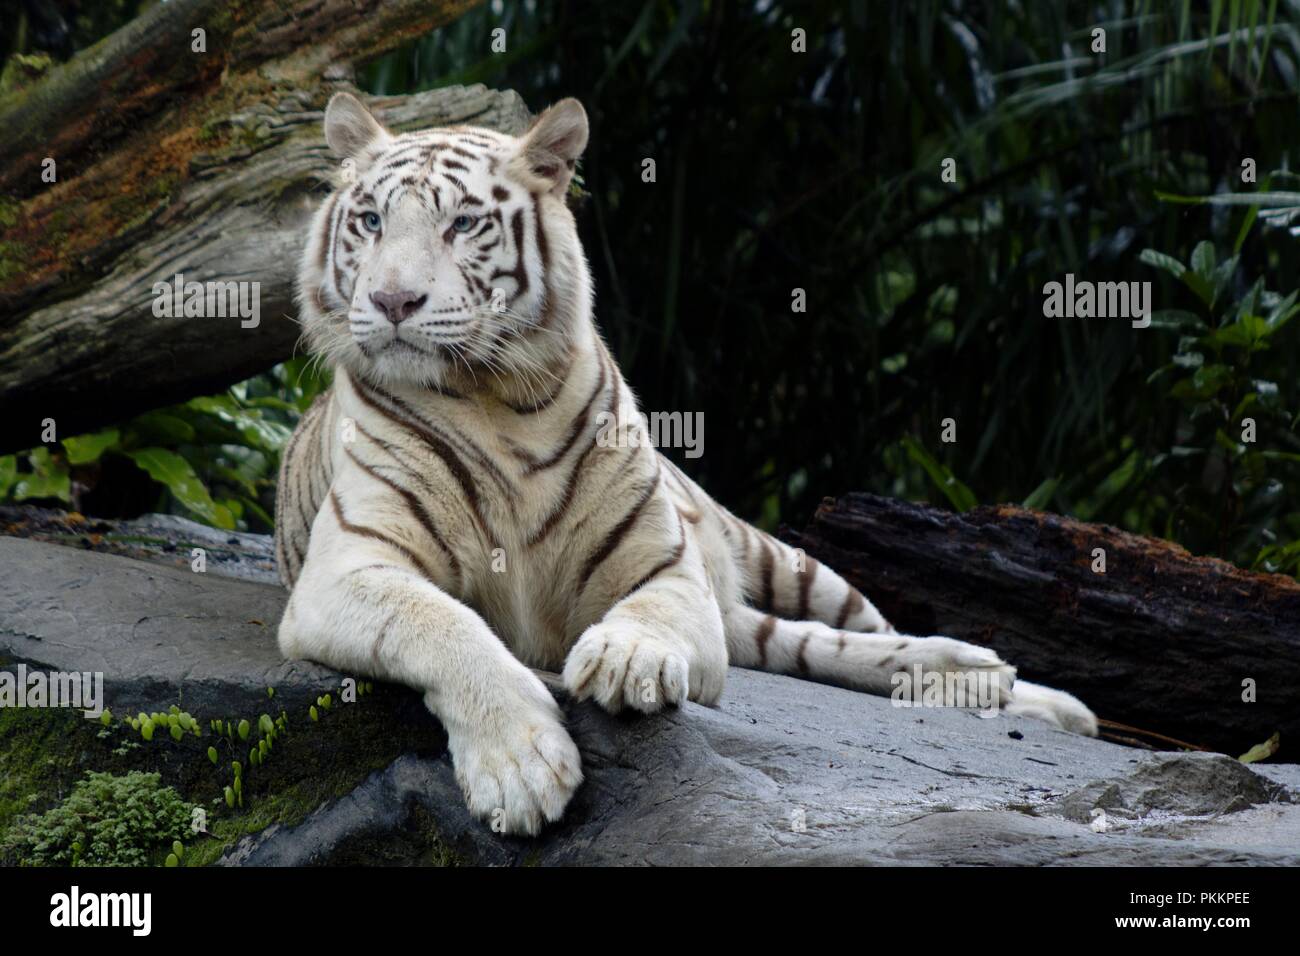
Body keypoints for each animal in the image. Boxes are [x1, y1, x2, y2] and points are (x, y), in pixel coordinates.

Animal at [274, 91, 1098, 837]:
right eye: (371, 222)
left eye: (463, 224)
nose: (392, 300)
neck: (496, 402)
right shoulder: (347, 571)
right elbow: (445, 626)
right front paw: (520, 768)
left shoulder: (667, 568)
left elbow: (652, 612)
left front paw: (626, 659)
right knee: (791, 644)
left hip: (781, 560)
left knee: (851, 630)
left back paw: (1017, 689)